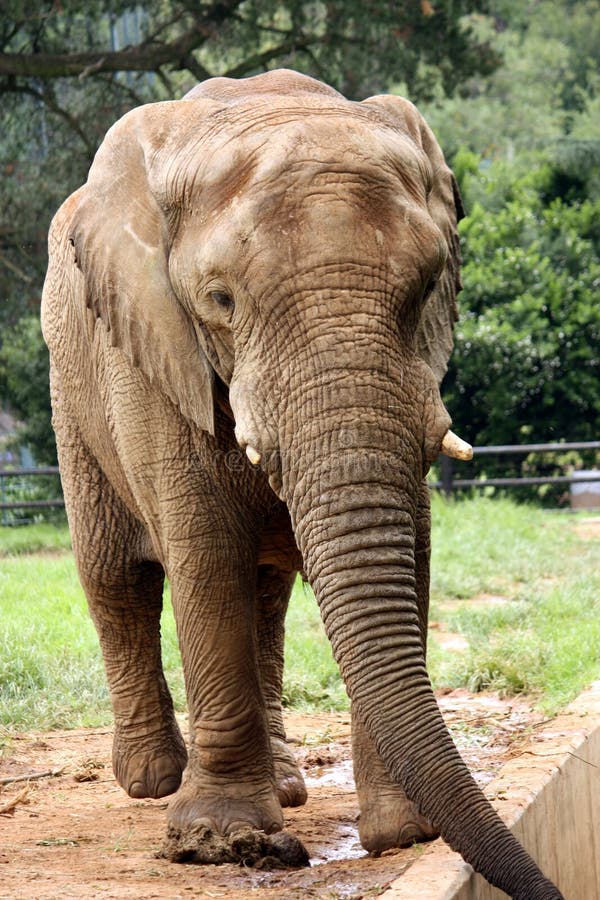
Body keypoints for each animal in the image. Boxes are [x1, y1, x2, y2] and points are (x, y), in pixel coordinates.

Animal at [41, 69, 562, 898]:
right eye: (219, 301)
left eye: (427, 288)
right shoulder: (152, 350)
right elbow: (204, 557)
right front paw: (221, 840)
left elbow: (408, 552)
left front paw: (403, 832)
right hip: (71, 385)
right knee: (116, 577)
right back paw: (153, 782)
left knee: (264, 594)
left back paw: (283, 787)